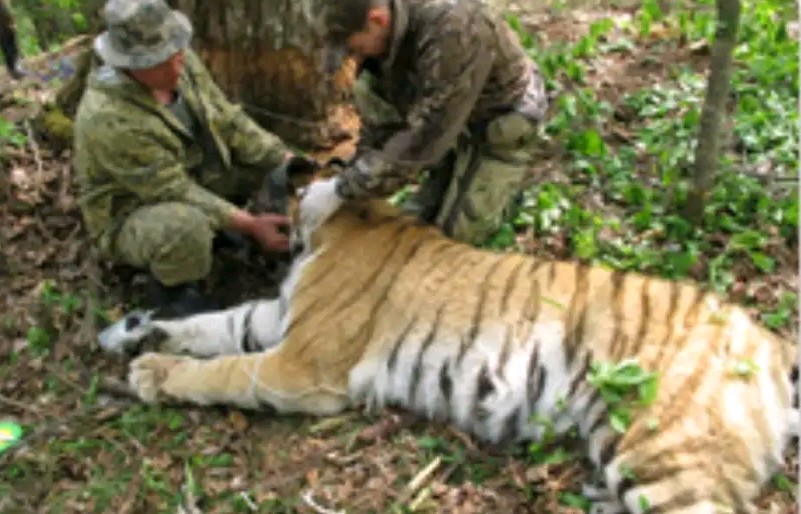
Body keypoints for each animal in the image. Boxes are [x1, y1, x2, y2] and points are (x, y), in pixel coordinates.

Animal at [98, 159, 799, 514]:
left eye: (272, 179)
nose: (243, 205)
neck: (332, 227)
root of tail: (769, 339)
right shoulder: (275, 319)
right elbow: (214, 324)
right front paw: (139, 333)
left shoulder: (300, 364)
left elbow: (220, 369)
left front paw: (152, 374)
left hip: (665, 447)